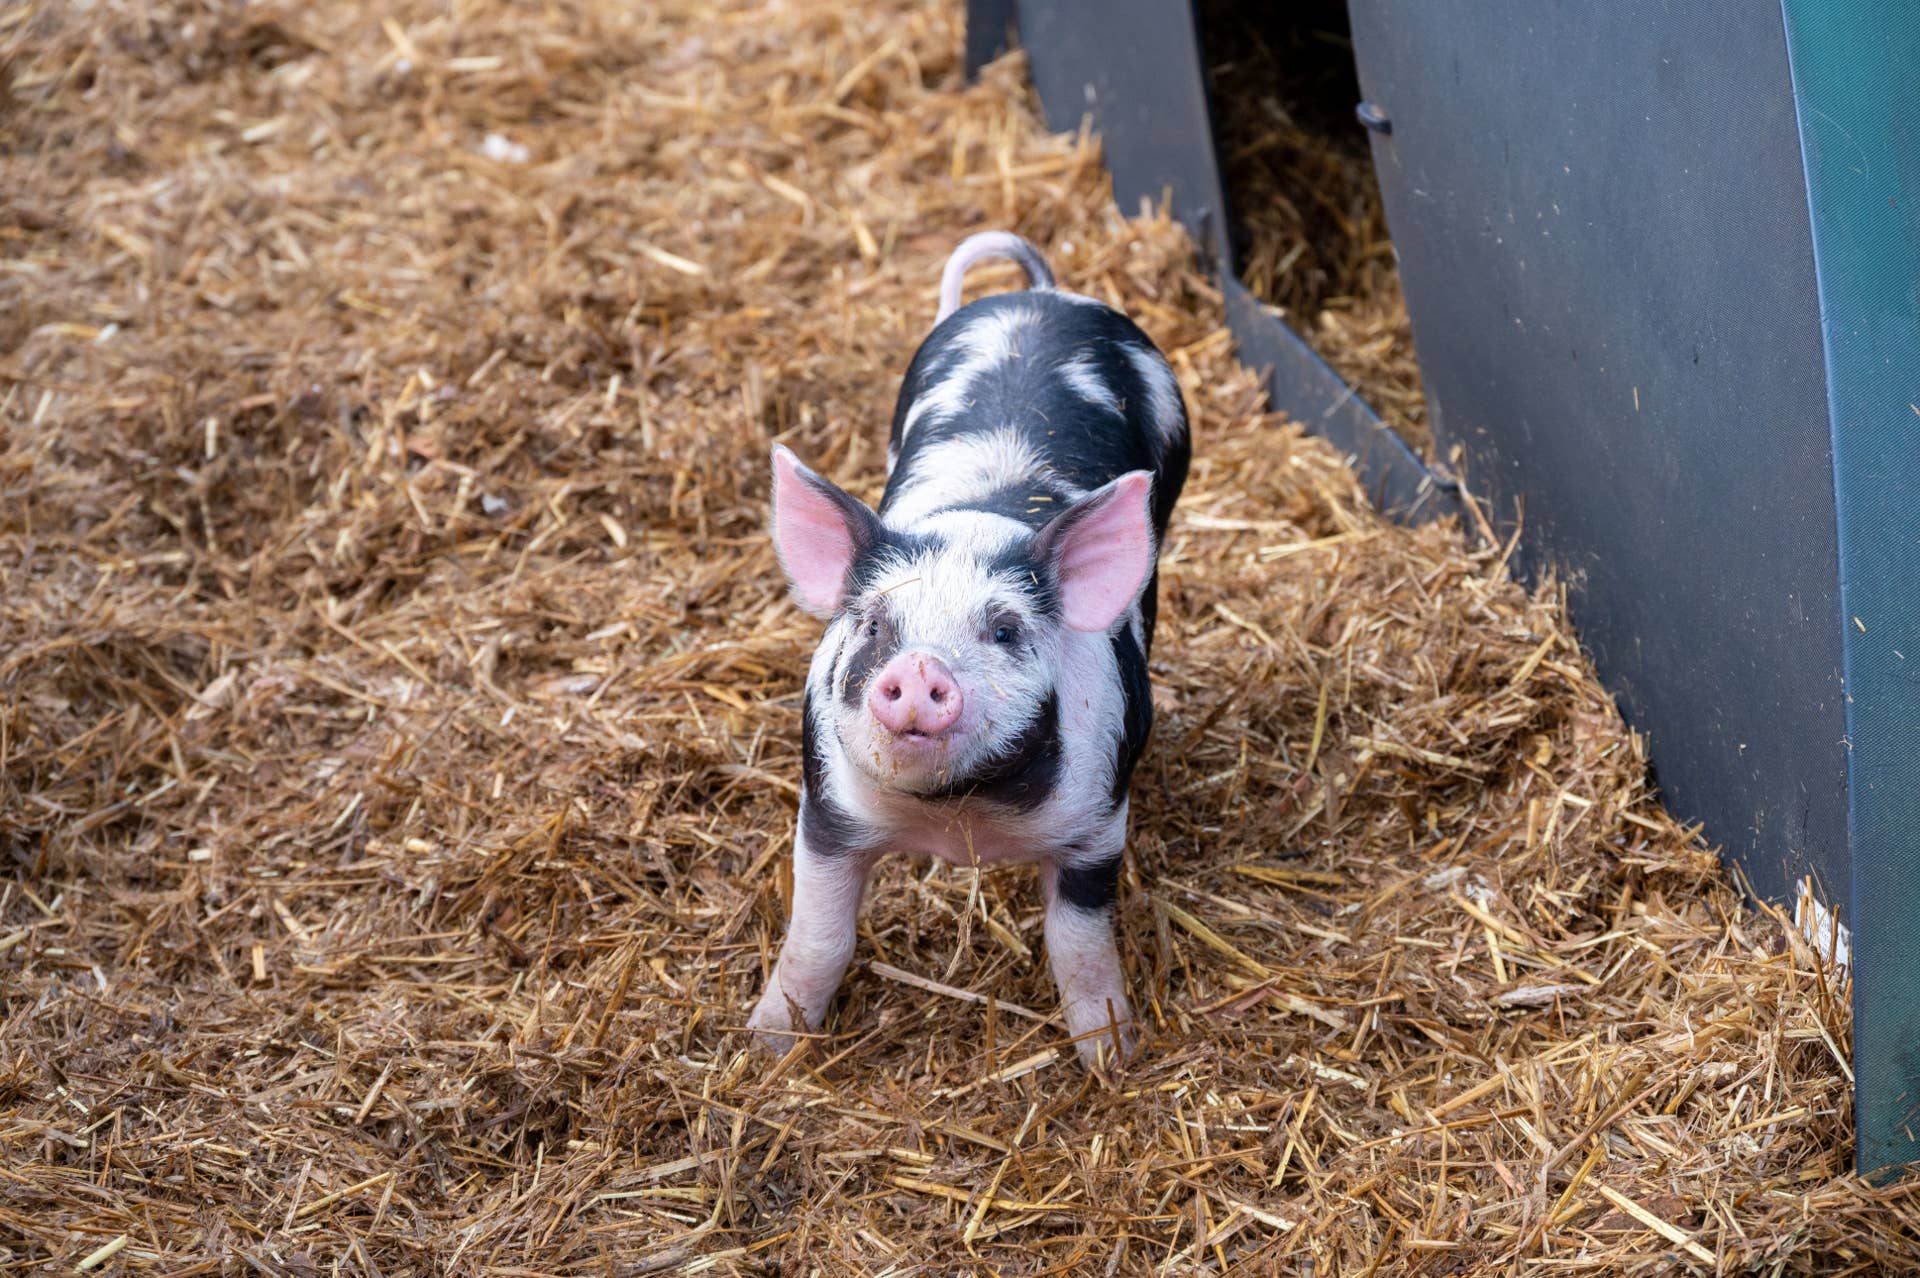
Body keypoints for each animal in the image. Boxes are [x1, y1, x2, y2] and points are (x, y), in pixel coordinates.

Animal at [748, 231, 1191, 1066]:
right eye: (874, 625)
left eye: (1006, 629)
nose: (920, 670)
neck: (956, 822)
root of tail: (1040, 297)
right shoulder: (825, 813)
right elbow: (818, 938)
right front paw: (766, 1043)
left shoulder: (1097, 825)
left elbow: (1079, 949)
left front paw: (1113, 1058)